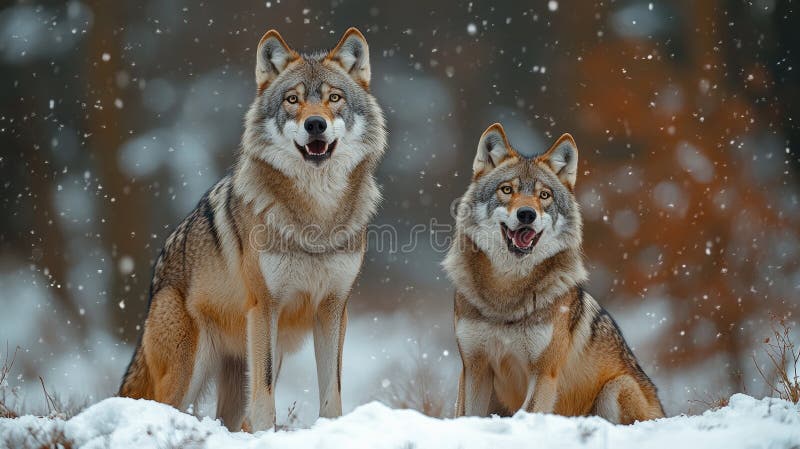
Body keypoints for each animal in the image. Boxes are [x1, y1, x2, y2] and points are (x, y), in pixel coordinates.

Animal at [118, 28, 387, 431]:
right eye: (292, 100)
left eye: (334, 98)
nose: (315, 124)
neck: (316, 217)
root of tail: (154, 286)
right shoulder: (265, 307)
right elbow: (264, 396)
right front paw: (266, 434)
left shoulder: (334, 308)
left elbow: (332, 392)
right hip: (188, 371)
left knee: (231, 419)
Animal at [442, 123, 664, 424]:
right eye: (507, 190)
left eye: (544, 195)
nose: (526, 214)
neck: (507, 293)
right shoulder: (474, 369)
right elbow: (468, 417)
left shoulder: (544, 373)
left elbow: (527, 413)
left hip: (617, 387)